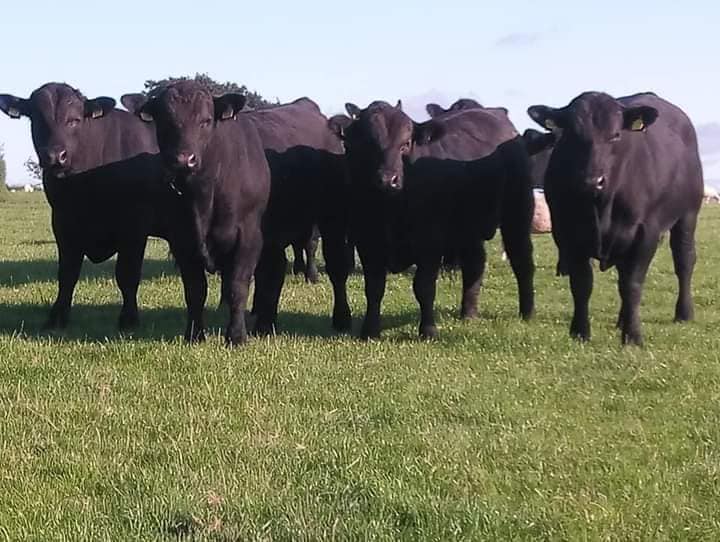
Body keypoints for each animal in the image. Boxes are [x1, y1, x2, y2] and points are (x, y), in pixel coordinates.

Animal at [0, 83, 169, 331]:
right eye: (36, 119)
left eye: (75, 119)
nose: (55, 156)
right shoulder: (63, 222)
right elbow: (67, 273)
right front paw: (57, 316)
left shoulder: (135, 226)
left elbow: (127, 274)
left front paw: (128, 318)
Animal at [129, 81, 271, 345]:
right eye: (165, 121)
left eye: (205, 120)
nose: (184, 159)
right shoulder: (182, 239)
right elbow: (195, 291)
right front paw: (194, 335)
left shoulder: (249, 236)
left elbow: (238, 286)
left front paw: (236, 336)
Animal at [341, 100, 535, 340]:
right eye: (368, 144)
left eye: (406, 143)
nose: (388, 180)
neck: (391, 207)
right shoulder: (367, 240)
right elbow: (374, 288)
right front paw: (370, 330)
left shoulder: (430, 242)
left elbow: (424, 287)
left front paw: (428, 330)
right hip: (467, 229)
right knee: (475, 264)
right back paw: (468, 312)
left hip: (517, 212)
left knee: (522, 259)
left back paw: (527, 312)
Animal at [527, 91, 704, 345]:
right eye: (572, 134)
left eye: (616, 135)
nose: (592, 181)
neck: (601, 206)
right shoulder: (566, 231)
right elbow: (582, 284)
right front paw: (580, 332)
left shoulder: (645, 233)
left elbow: (632, 284)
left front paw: (633, 336)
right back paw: (622, 319)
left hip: (688, 215)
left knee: (684, 260)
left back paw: (684, 313)